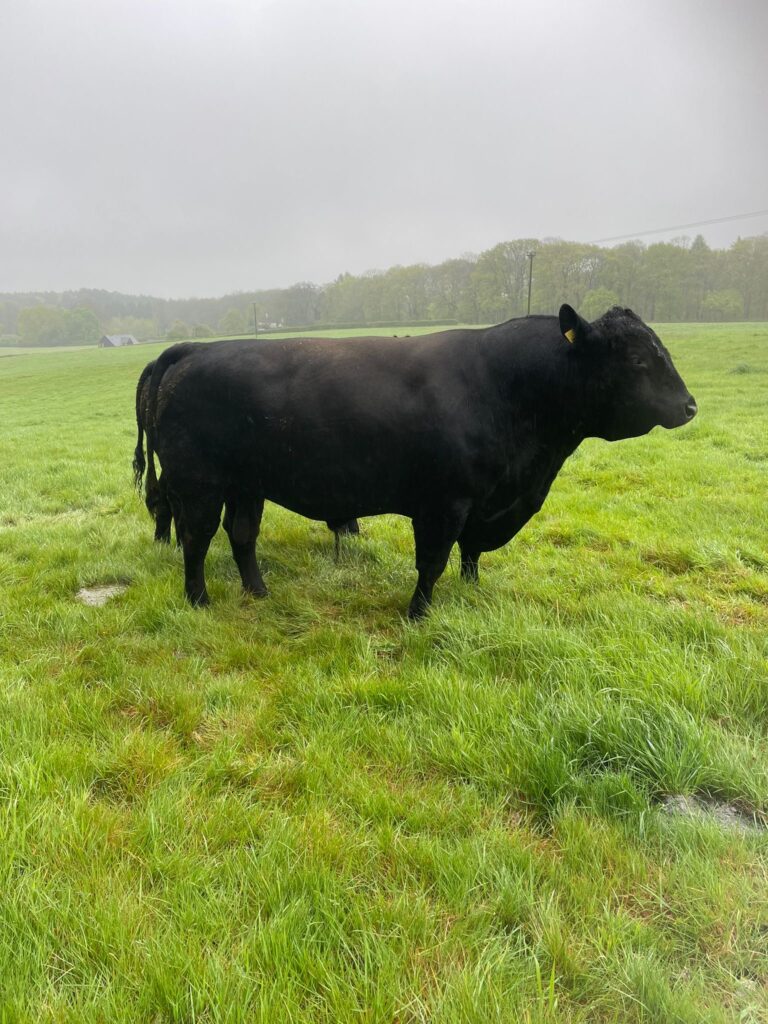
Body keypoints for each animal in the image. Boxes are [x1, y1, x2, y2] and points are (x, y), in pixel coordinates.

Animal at [135, 306, 697, 617]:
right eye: (639, 359)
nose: (689, 406)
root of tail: (195, 350)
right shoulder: (444, 502)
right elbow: (434, 560)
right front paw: (418, 613)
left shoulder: (482, 502)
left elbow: (470, 553)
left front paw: (471, 591)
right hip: (198, 483)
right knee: (196, 538)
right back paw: (199, 601)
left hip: (246, 484)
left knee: (242, 536)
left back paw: (258, 593)